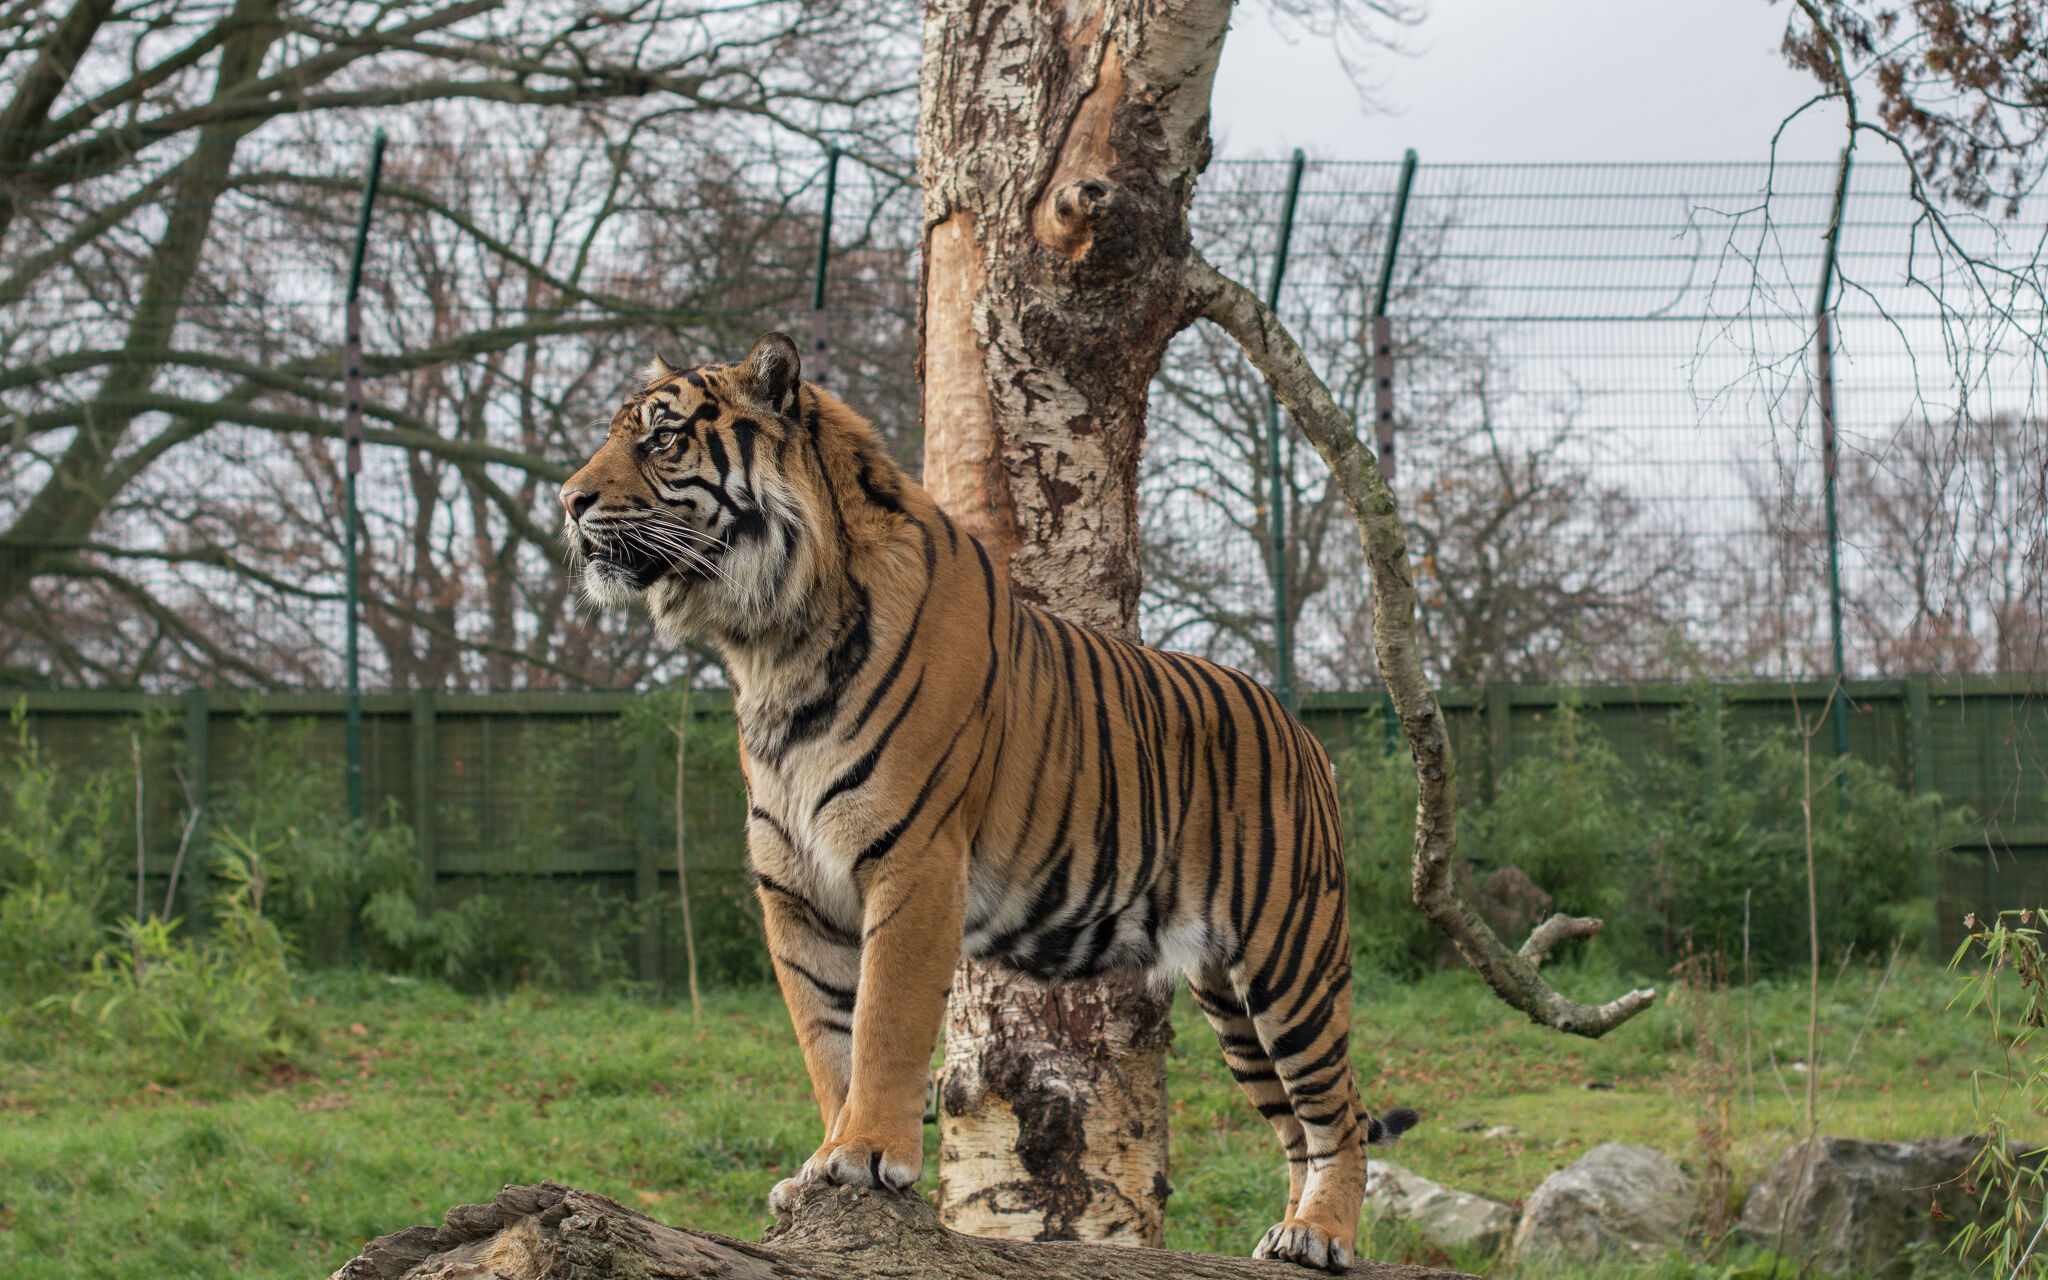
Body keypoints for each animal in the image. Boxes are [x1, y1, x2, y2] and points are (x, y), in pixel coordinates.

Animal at [559, 333, 1412, 1271]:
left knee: (1337, 1113)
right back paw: (1289, 1233)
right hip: (1228, 995)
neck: (769, 645)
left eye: (662, 437)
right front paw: (822, 1161)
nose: (567, 501)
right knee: (1296, 1128)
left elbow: (884, 1023)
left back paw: (1321, 1235)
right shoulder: (795, 892)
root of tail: (1303, 732)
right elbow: (827, 1043)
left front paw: (867, 1155)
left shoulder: (913, 862)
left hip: (1288, 960)